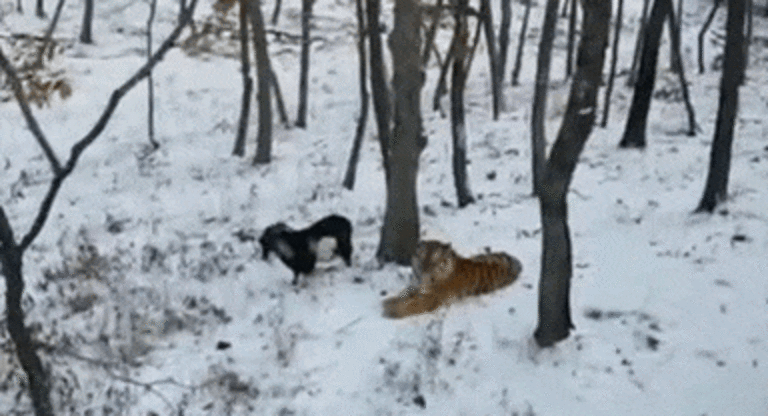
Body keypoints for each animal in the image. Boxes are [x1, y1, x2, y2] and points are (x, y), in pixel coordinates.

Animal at [382, 240, 522, 319]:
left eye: (434, 262)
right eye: (422, 261)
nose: (423, 274)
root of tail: (517, 262)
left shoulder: (431, 298)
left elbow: (410, 305)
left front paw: (389, 308)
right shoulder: (414, 286)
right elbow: (403, 294)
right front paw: (391, 300)